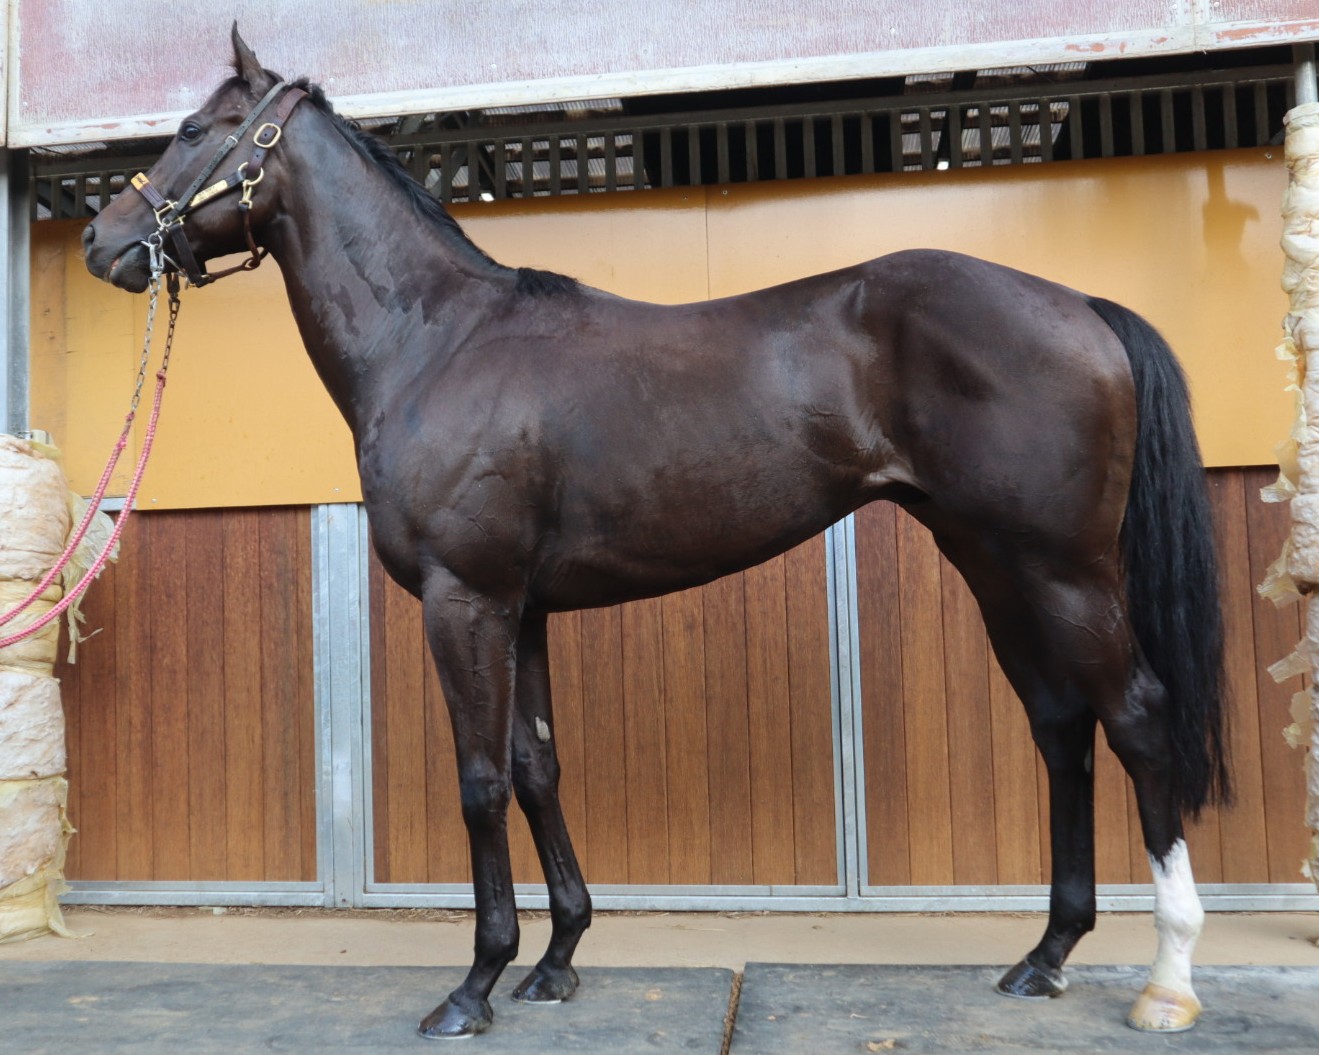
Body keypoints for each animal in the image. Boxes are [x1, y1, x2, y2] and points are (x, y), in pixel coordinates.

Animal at [83, 28, 1229, 1040]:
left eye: (191, 129)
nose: (104, 240)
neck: (437, 341)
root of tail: (1078, 303)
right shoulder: (523, 607)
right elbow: (538, 765)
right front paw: (555, 959)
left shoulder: (467, 598)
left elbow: (480, 778)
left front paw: (475, 982)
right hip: (993, 566)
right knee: (1059, 725)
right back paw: (1043, 955)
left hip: (1063, 570)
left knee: (1133, 716)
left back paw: (1167, 980)